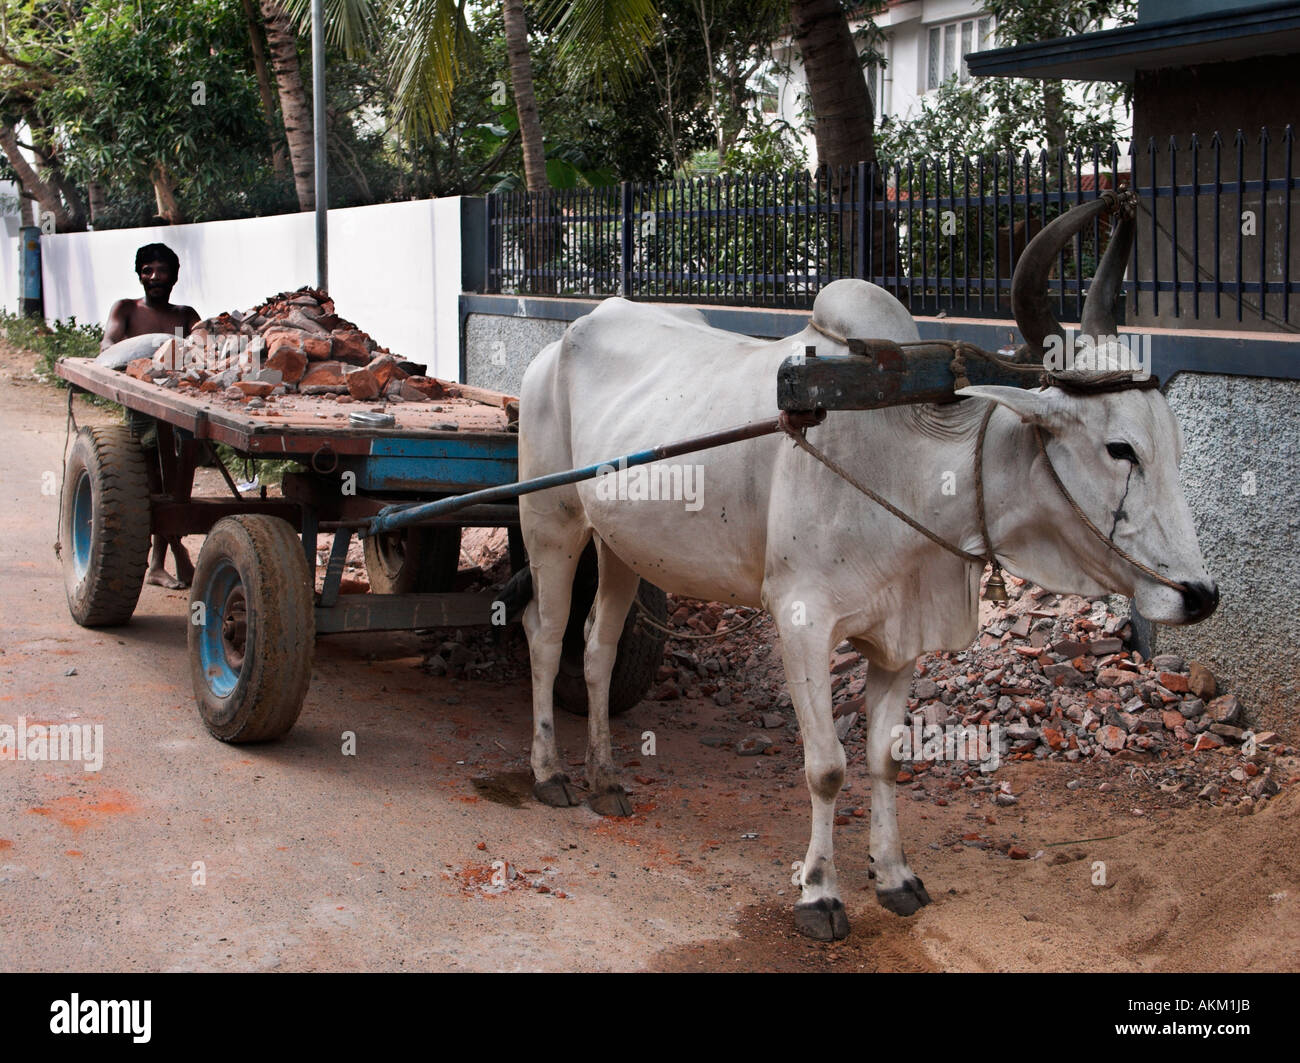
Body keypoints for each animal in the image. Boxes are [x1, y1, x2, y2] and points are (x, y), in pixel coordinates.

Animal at [516, 192, 1218, 941]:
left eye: (1174, 444)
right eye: (1120, 448)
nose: (1199, 595)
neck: (907, 460)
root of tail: (568, 336)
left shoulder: (901, 636)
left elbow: (884, 757)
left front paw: (895, 875)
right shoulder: (801, 621)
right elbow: (828, 766)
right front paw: (819, 892)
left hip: (621, 547)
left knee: (596, 647)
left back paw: (606, 777)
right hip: (552, 521)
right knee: (544, 634)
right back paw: (550, 771)